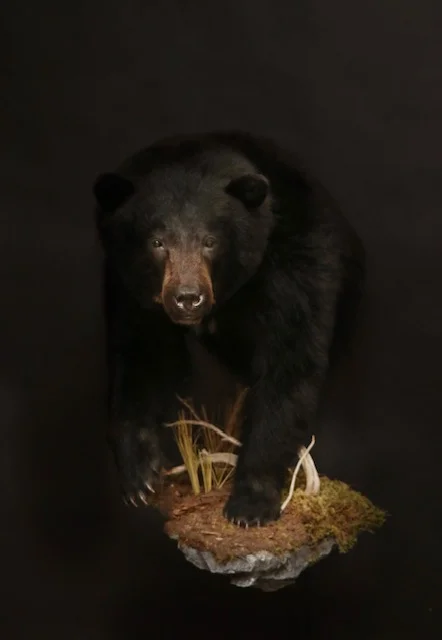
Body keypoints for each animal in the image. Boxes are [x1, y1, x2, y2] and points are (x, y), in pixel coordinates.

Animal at [93, 131, 365, 527]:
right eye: (157, 242)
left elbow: (289, 363)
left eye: (210, 241)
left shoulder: (297, 266)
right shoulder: (128, 284)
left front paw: (251, 504)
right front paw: (139, 478)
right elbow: (140, 355)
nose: (187, 298)